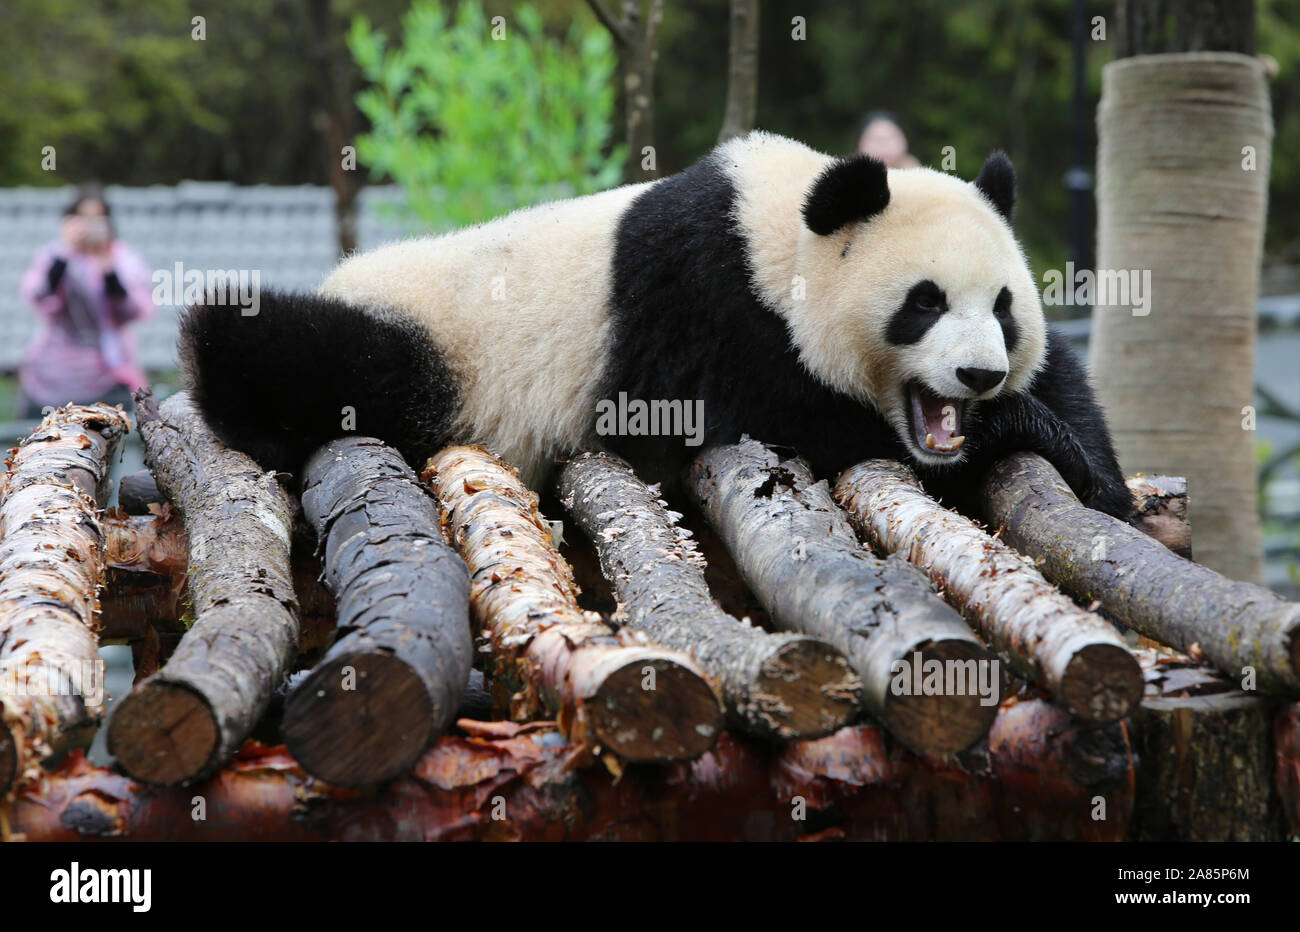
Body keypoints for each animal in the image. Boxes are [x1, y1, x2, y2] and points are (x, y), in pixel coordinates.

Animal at [179, 130, 1132, 520]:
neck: (773, 232)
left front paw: (1089, 468)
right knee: (272, 342)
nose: (979, 377)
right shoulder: (696, 304)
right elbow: (756, 416)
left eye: (1003, 309)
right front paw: (1015, 428)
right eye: (923, 303)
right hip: (426, 337)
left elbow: (1072, 388)